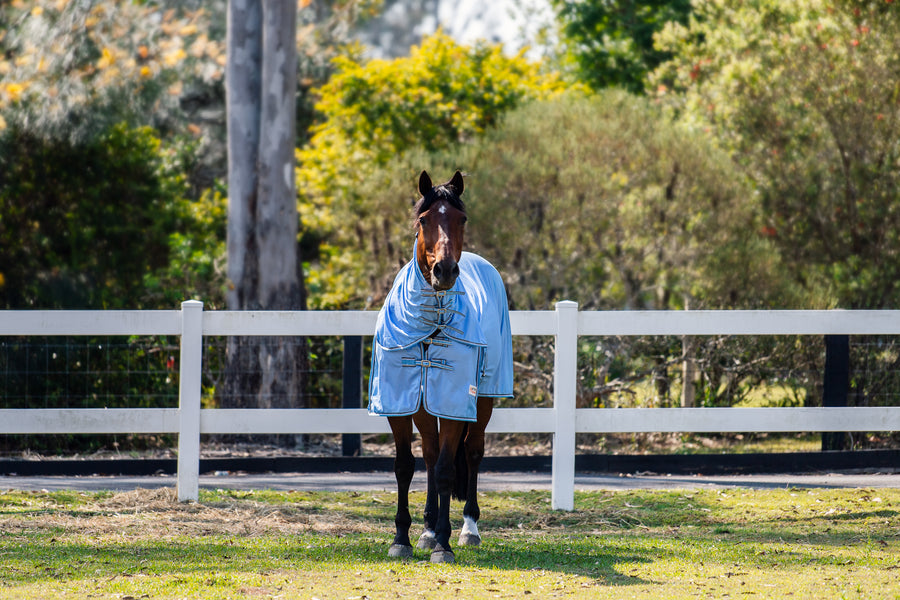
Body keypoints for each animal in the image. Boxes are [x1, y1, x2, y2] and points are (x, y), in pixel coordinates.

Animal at [368, 170, 513, 564]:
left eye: (461, 219)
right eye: (424, 219)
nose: (444, 271)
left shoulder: (454, 404)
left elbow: (449, 470)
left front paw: (444, 544)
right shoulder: (399, 403)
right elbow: (406, 466)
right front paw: (402, 537)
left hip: (483, 400)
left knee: (472, 453)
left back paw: (468, 529)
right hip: (423, 404)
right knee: (431, 457)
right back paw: (428, 529)